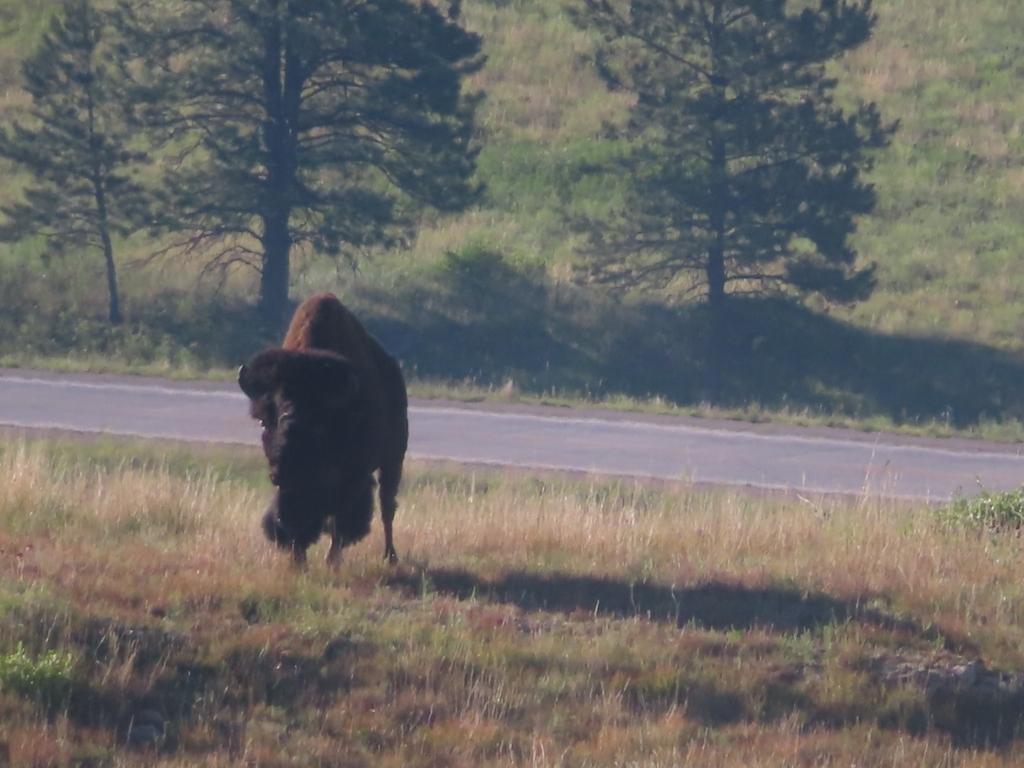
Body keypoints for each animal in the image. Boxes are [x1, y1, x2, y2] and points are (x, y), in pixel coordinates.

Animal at [238, 294, 408, 565]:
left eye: (317, 425)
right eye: (265, 421)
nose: (281, 468)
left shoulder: (352, 475)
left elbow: (341, 519)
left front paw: (331, 561)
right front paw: (298, 558)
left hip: (394, 458)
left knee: (386, 506)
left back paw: (389, 557)